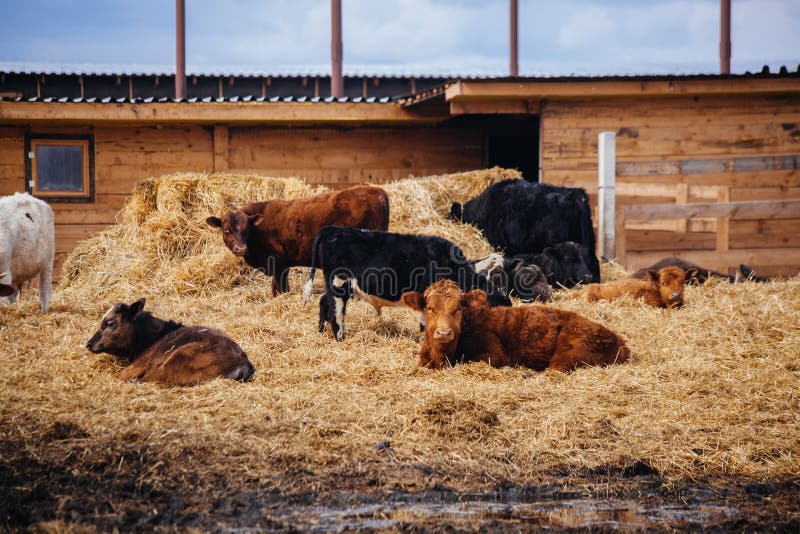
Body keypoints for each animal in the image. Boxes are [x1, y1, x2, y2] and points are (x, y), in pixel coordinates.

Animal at [86, 298, 255, 387]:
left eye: (110, 323)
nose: (89, 344)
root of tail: (242, 363)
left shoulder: (140, 364)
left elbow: (118, 376)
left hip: (178, 358)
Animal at [206, 185, 389, 296]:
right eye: (227, 229)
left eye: (247, 230)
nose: (241, 248)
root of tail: (376, 190)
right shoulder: (283, 265)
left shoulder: (277, 263)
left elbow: (279, 289)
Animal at [303, 226, 512, 340]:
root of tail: (334, 229)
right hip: (339, 284)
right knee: (337, 311)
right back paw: (340, 337)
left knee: (324, 302)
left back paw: (321, 332)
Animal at [401, 280, 630, 372]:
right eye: (430, 307)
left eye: (458, 308)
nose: (444, 332)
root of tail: (620, 341)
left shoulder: (495, 355)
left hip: (570, 350)